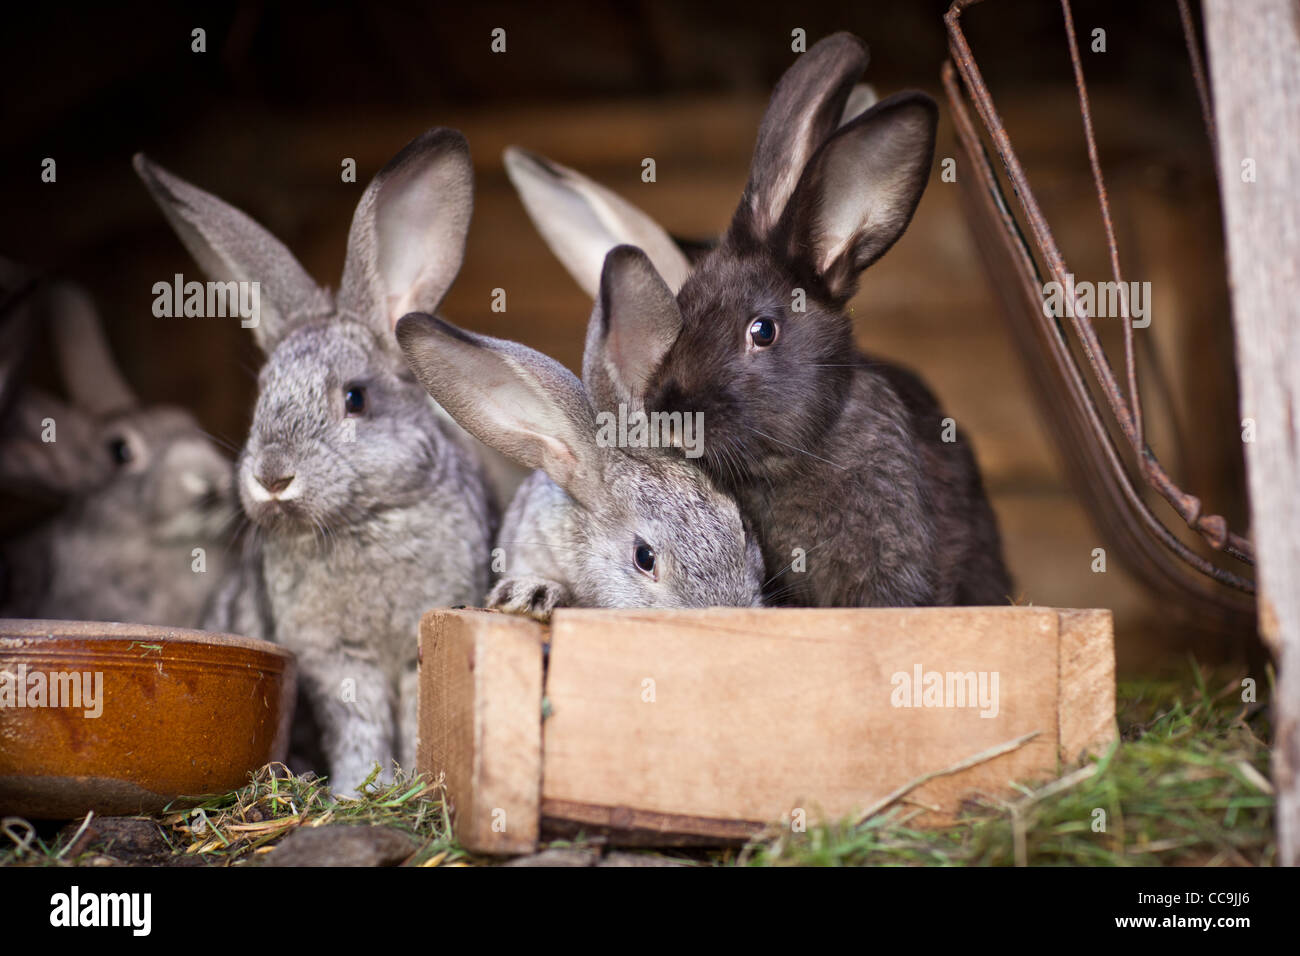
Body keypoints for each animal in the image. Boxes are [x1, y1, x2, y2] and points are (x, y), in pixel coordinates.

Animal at [133, 127, 496, 793]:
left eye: (355, 398)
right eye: (262, 395)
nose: (272, 477)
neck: (363, 520)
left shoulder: (415, 646)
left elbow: (412, 717)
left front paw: (400, 784)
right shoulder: (335, 659)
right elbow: (357, 727)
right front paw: (358, 789)